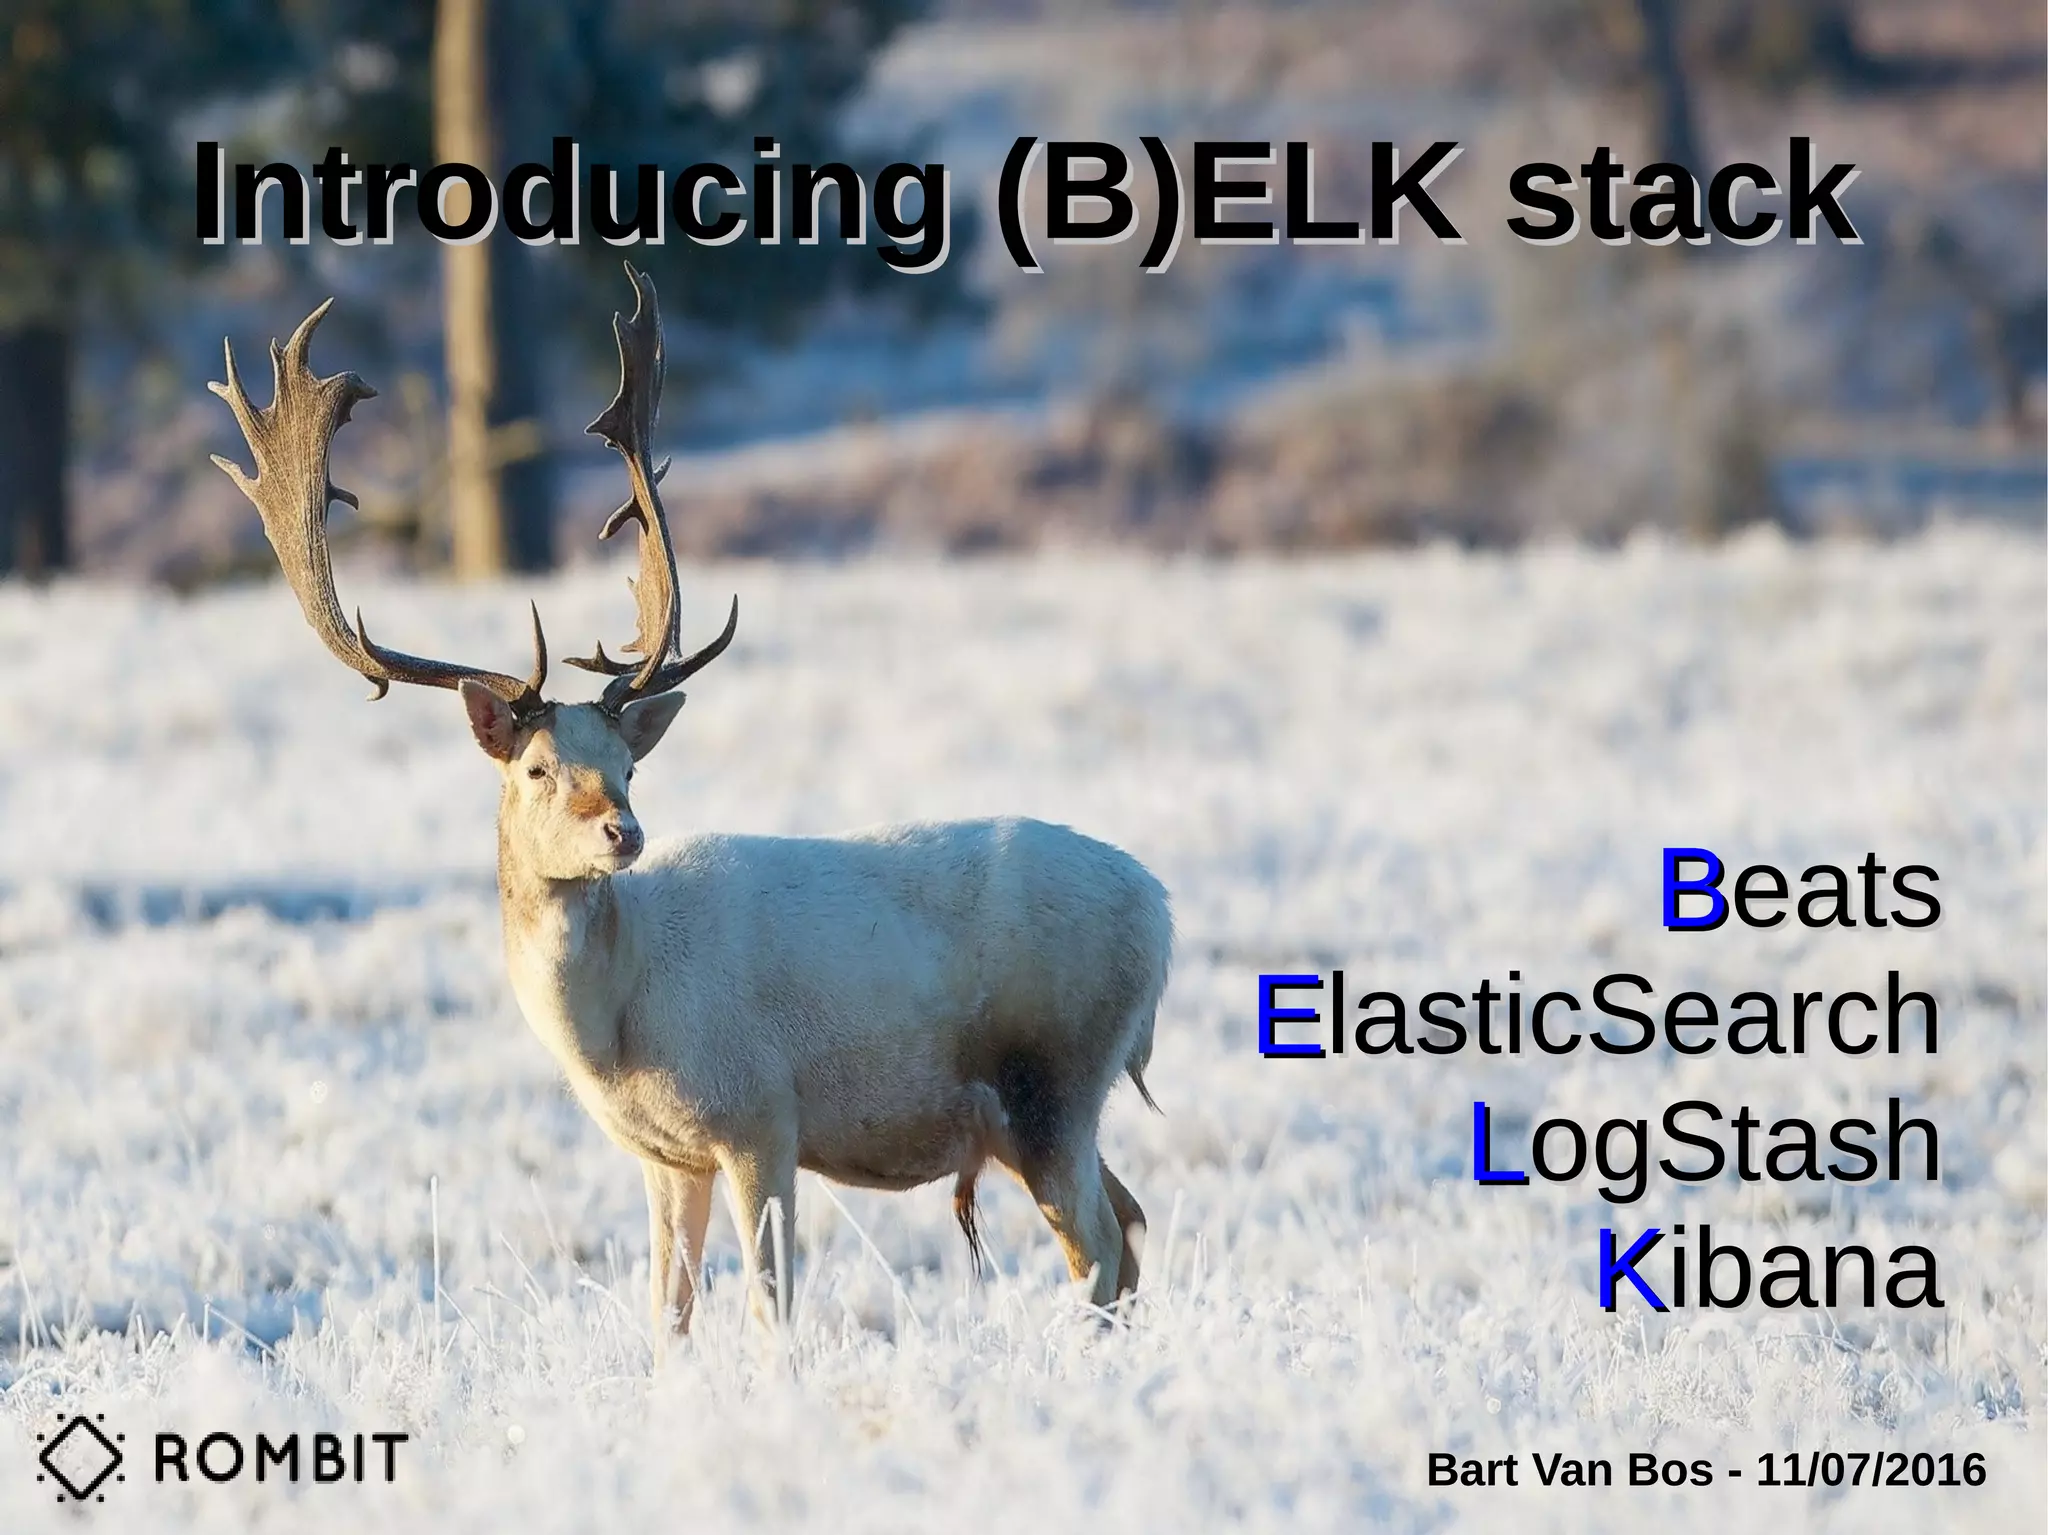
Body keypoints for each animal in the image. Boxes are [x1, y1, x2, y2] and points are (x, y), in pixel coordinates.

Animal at [209, 264, 1172, 1345]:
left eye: (627, 768)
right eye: (538, 767)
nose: (621, 831)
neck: (618, 1027)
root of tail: (1162, 914)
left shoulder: (760, 1113)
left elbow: (768, 1300)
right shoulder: (664, 1154)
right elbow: (666, 1310)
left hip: (1052, 1076)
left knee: (1099, 1243)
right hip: (1044, 1105)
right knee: (1131, 1220)